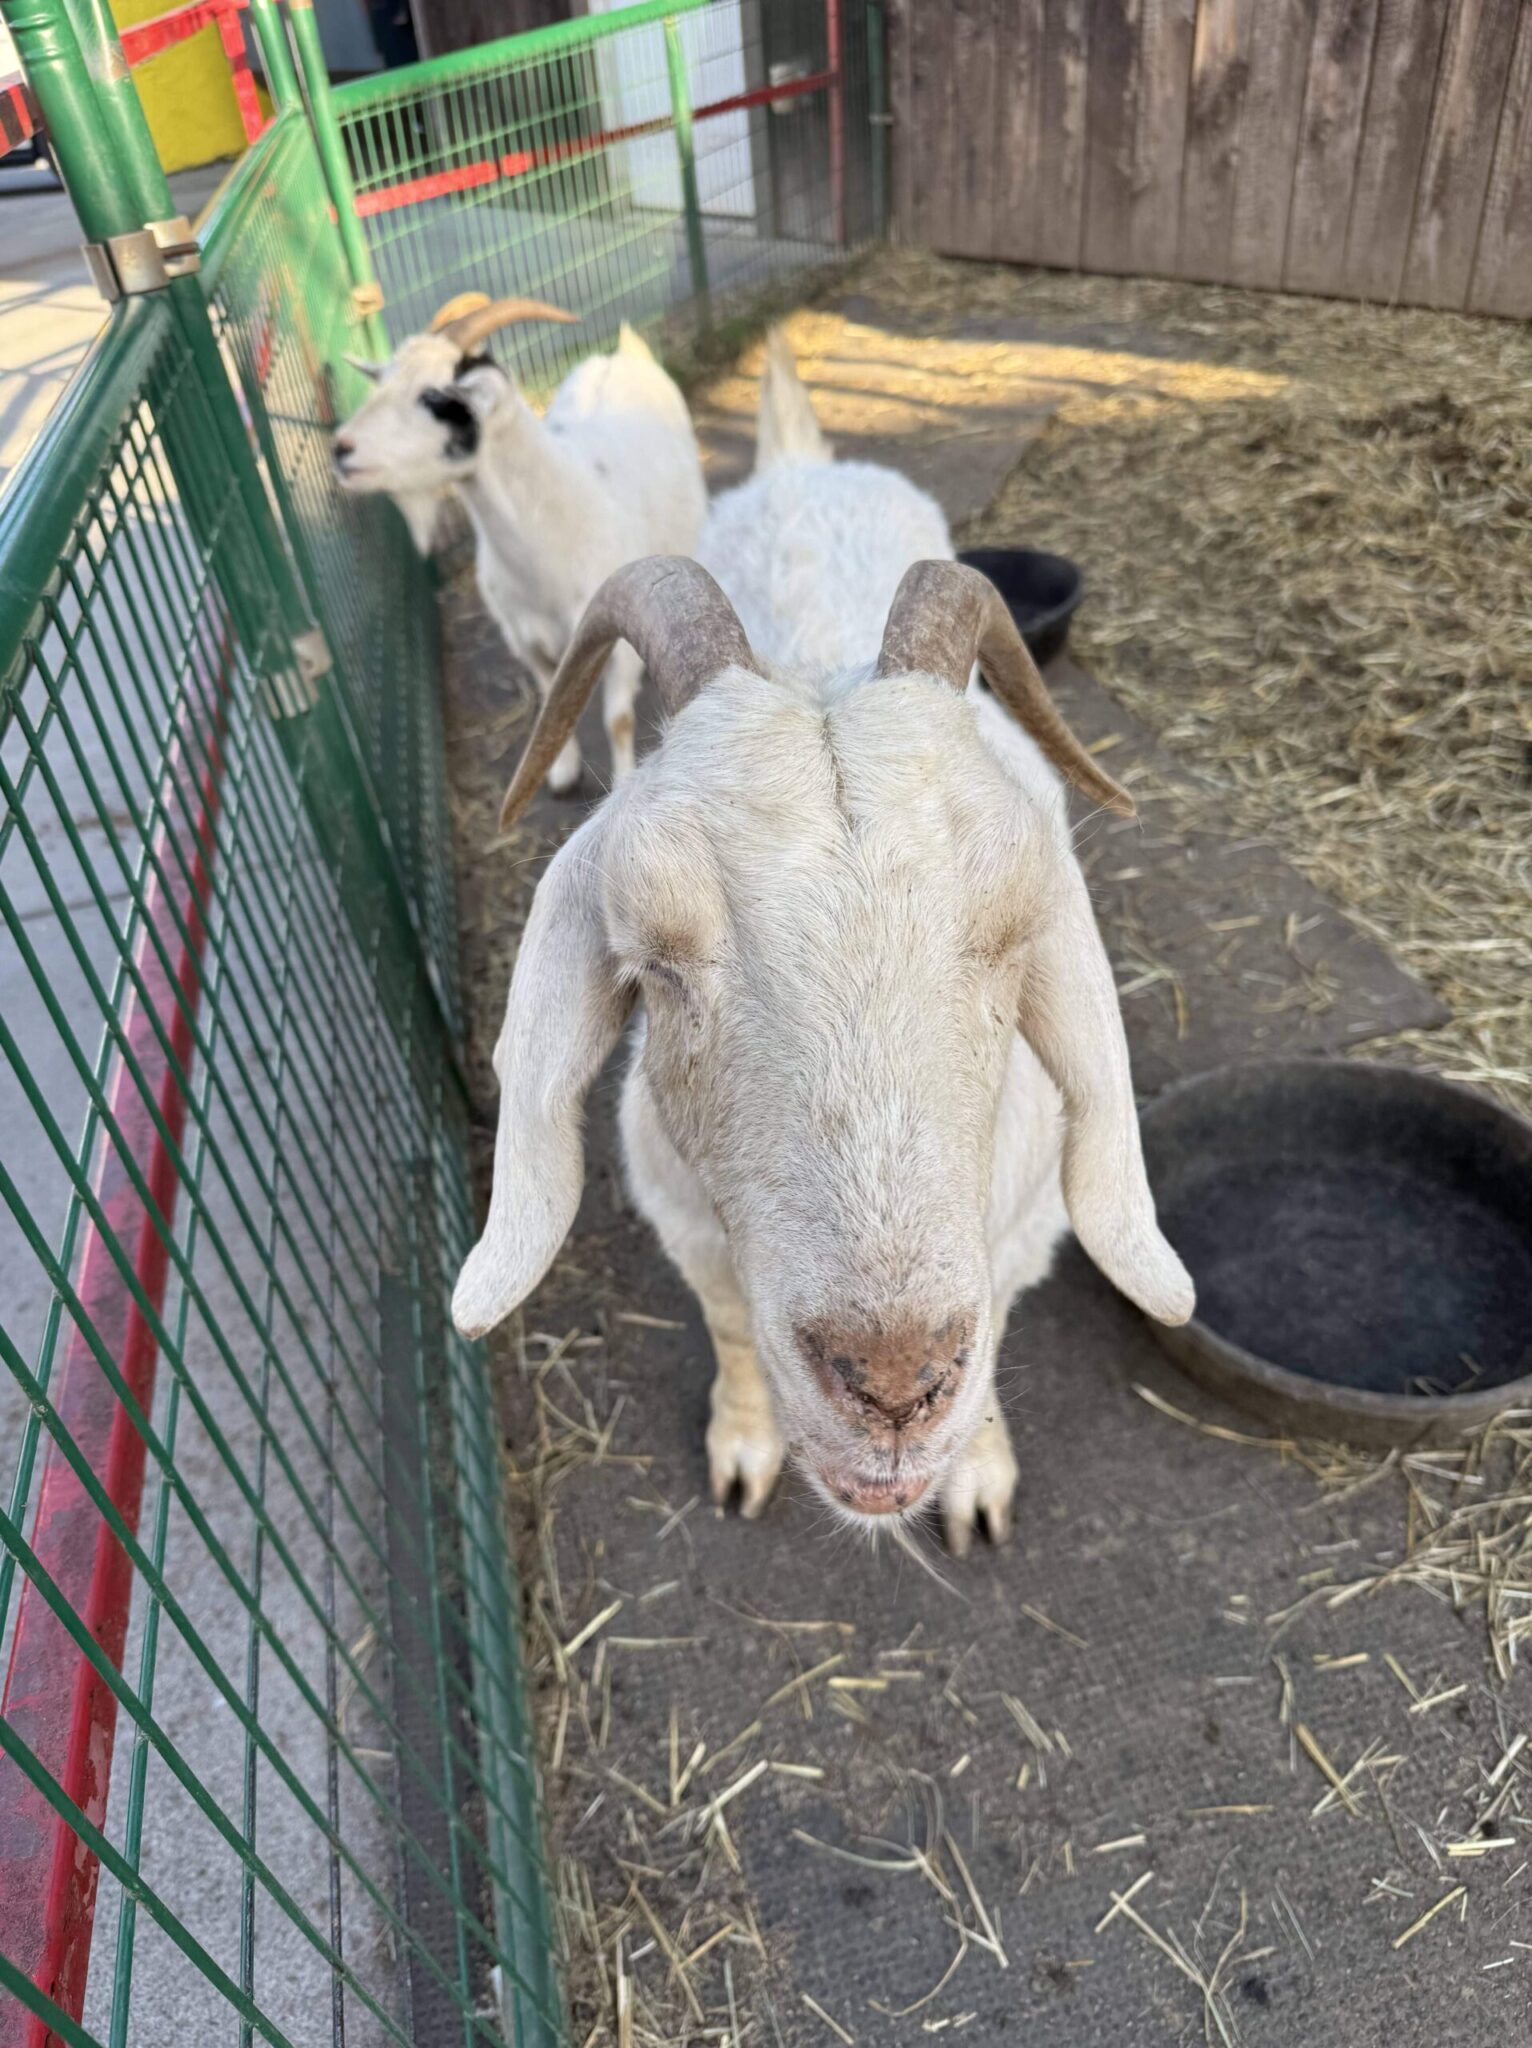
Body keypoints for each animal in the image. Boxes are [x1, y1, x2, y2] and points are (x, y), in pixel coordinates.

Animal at [332, 293, 707, 792]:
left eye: (433, 396)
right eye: (382, 382)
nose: (341, 449)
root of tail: (622, 353)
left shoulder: (616, 643)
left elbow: (618, 720)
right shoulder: (525, 641)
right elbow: (549, 701)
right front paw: (563, 772)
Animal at [453, 339, 1192, 1554]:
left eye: (1008, 937)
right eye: (654, 957)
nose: (892, 1382)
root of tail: (801, 461)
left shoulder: (1018, 1234)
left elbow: (998, 1339)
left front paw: (976, 1474)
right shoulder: (689, 1226)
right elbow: (730, 1334)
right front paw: (743, 1450)